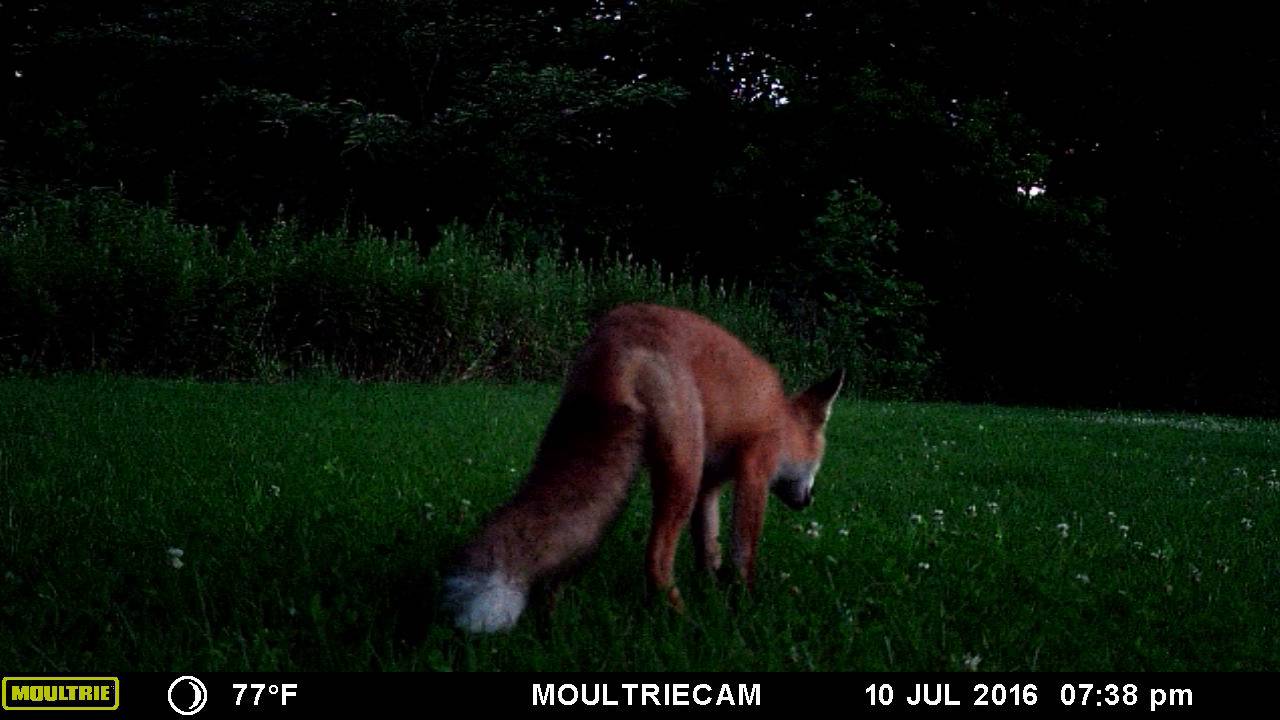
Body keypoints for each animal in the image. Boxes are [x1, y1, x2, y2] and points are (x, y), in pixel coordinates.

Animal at [443, 303, 844, 633]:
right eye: (818, 465)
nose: (809, 500)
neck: (779, 420)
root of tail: (616, 333)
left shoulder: (710, 483)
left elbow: (708, 544)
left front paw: (712, 586)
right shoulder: (753, 472)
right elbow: (743, 550)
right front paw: (744, 602)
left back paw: (551, 621)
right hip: (683, 469)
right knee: (655, 558)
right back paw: (683, 621)